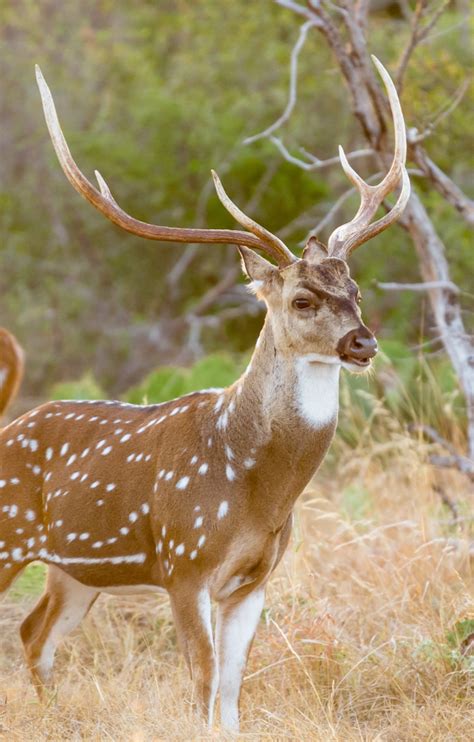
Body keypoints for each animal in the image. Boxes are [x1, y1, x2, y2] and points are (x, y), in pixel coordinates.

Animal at [0, 57, 410, 731]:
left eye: (354, 290)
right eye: (303, 300)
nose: (363, 342)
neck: (255, 489)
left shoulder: (254, 579)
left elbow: (234, 688)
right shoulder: (184, 562)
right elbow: (202, 681)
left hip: (75, 571)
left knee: (36, 635)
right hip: (12, 538)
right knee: (33, 634)